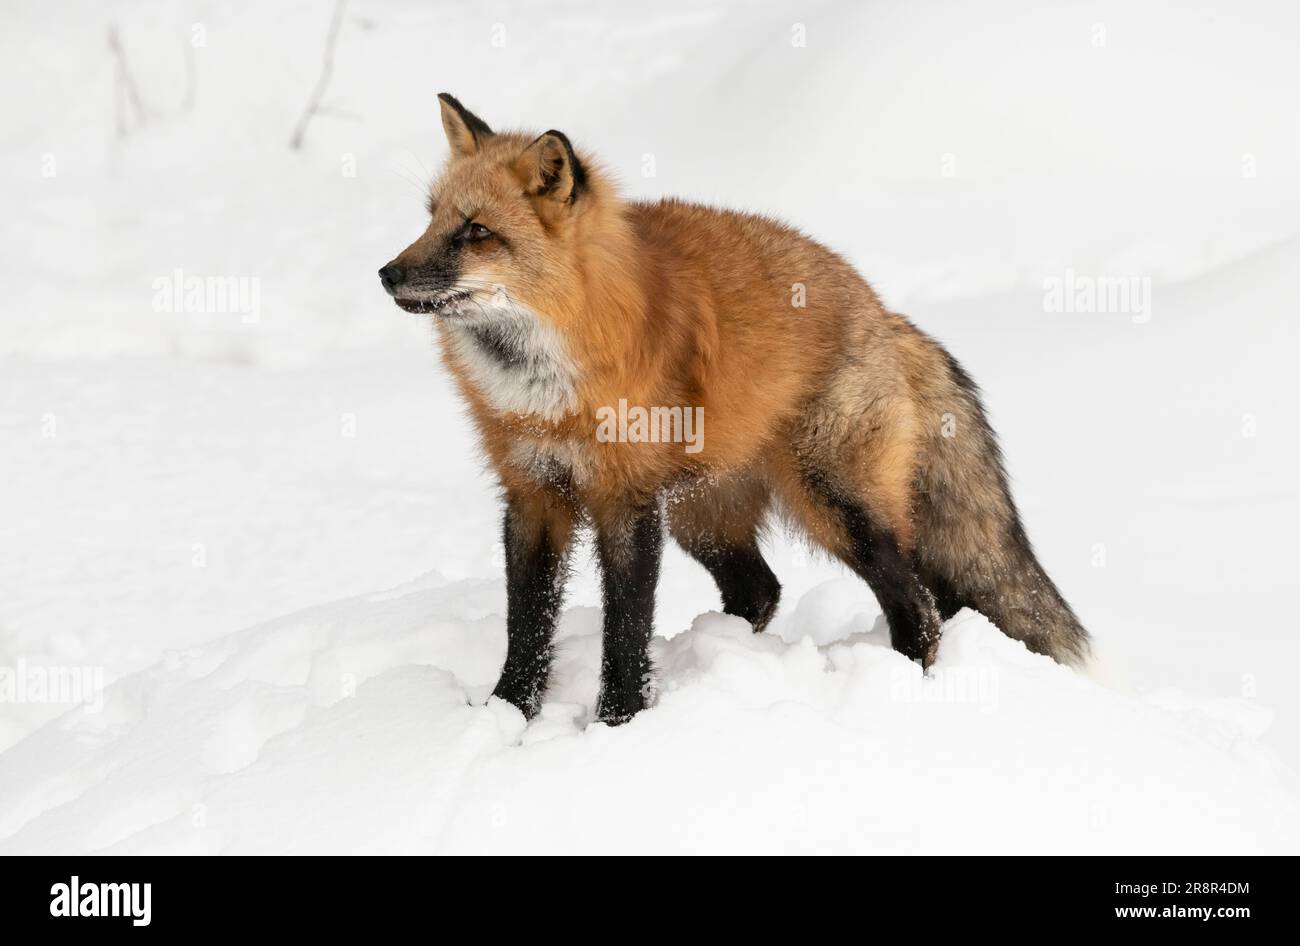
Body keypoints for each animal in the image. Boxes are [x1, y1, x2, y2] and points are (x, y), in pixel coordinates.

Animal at [380, 93, 1090, 724]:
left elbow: (625, 629)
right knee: (763, 589)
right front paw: (505, 716)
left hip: (837, 505)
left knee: (919, 602)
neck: (546, 389)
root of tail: (883, 310)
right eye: (430, 218)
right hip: (703, 516)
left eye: (476, 233)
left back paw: (907, 682)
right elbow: (526, 627)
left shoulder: (624, 498)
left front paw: (619, 721)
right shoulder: (533, 494)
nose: (386, 274)